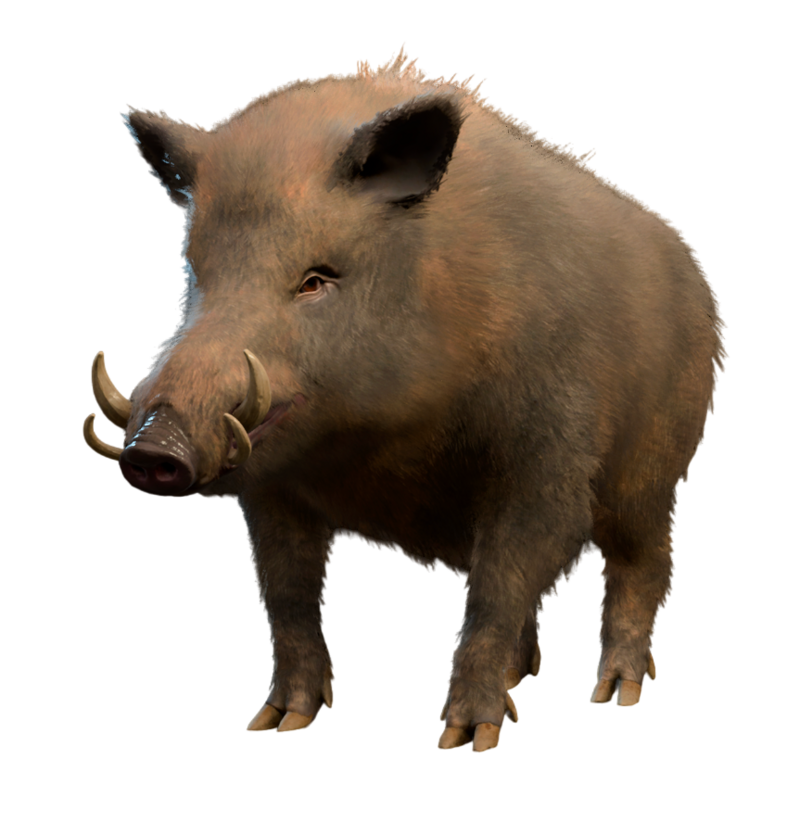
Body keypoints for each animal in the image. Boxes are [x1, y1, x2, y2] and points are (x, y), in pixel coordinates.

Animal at [83, 41, 728, 754]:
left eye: (315, 279)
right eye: (193, 271)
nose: (153, 448)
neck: (378, 441)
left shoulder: (545, 463)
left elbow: (497, 590)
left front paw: (467, 739)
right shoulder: (272, 491)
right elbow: (287, 596)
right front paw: (277, 724)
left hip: (655, 471)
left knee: (645, 568)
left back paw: (615, 695)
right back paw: (521, 682)